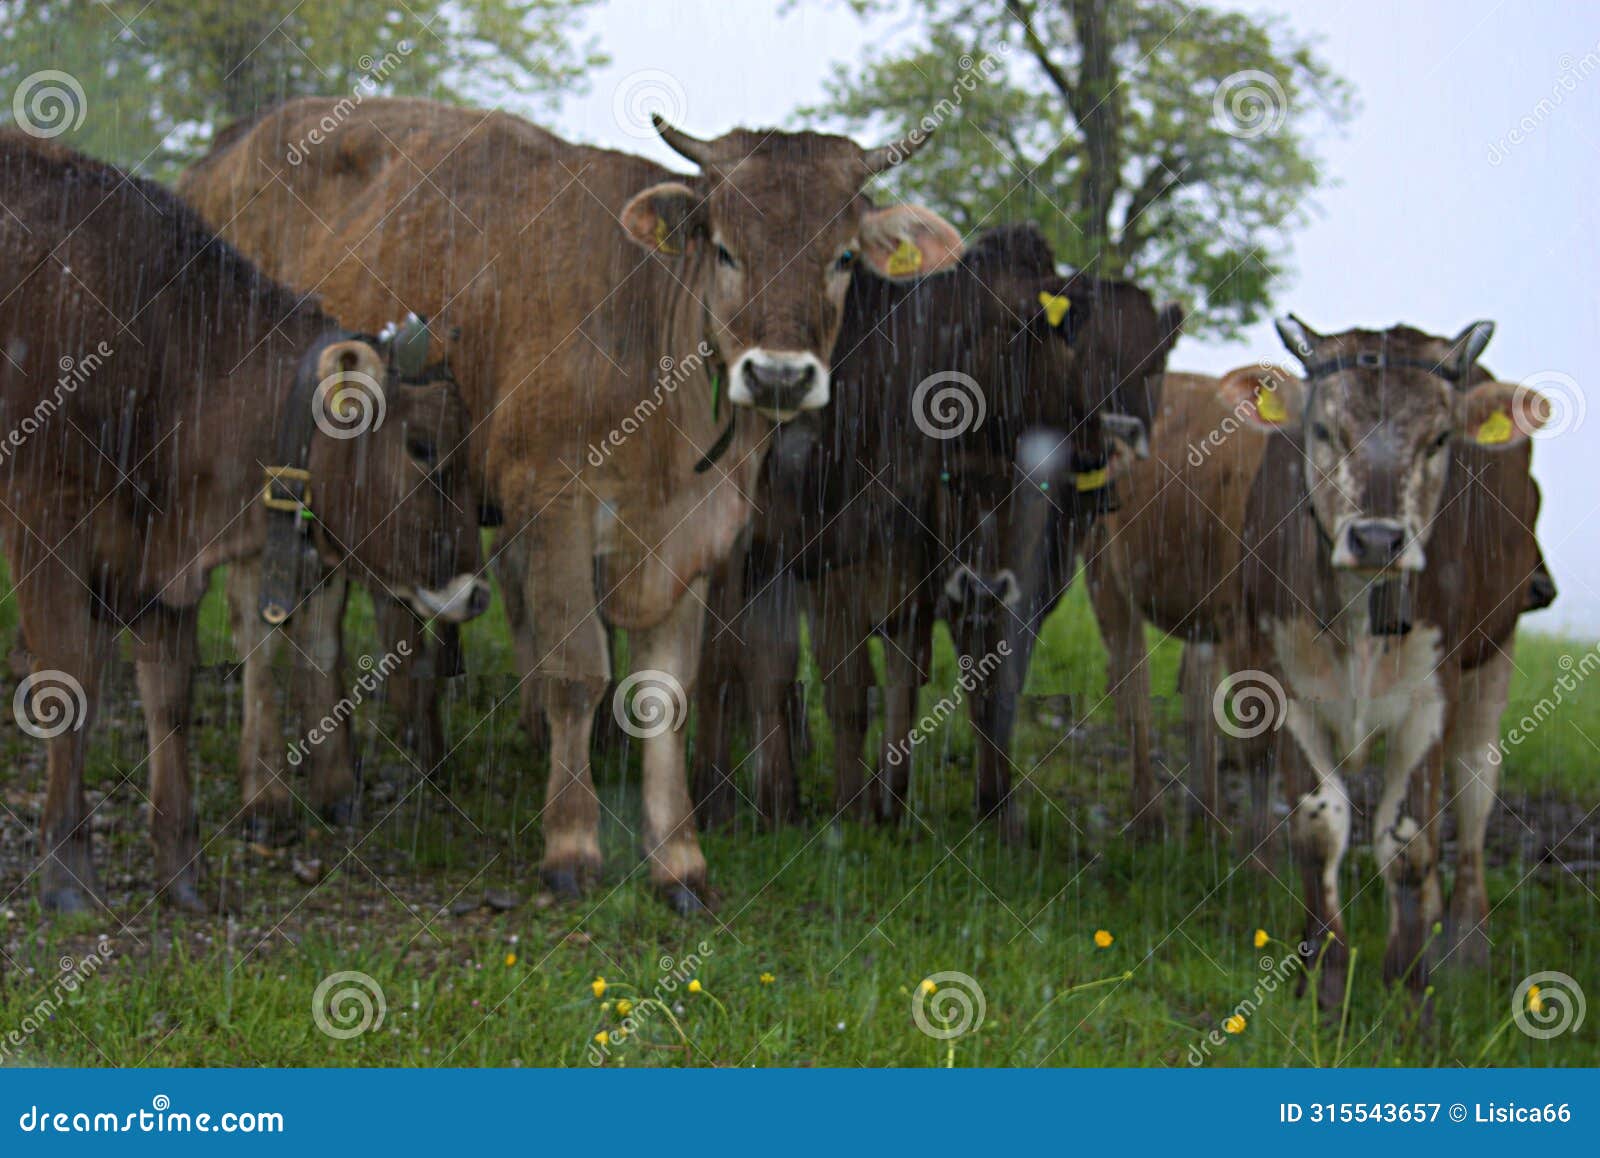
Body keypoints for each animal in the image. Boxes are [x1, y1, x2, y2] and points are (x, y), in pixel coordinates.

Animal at [0, 134, 486, 913]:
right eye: (421, 448)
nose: (477, 591)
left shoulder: (157, 557)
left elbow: (170, 696)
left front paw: (181, 868)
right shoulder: (47, 515)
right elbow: (70, 680)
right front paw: (68, 871)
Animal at [179, 97, 961, 913]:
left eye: (842, 259)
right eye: (724, 250)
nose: (779, 375)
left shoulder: (694, 534)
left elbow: (667, 691)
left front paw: (678, 859)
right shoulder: (552, 502)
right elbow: (577, 671)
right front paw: (572, 846)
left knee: (320, 622)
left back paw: (336, 782)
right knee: (258, 621)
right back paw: (265, 798)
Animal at [692, 225, 1181, 838]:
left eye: (1156, 362)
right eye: (1075, 344)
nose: (1125, 433)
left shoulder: (981, 584)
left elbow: (975, 682)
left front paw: (972, 811)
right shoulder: (811, 560)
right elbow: (823, 679)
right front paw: (831, 811)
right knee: (726, 663)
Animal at [1221, 318, 1549, 1007]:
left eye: (1439, 438)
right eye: (1324, 429)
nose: (1377, 538)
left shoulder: (1430, 699)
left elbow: (1409, 844)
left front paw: (1410, 987)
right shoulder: (1288, 685)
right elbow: (1320, 827)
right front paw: (1324, 978)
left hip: (1495, 650)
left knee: (1474, 784)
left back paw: (1464, 943)